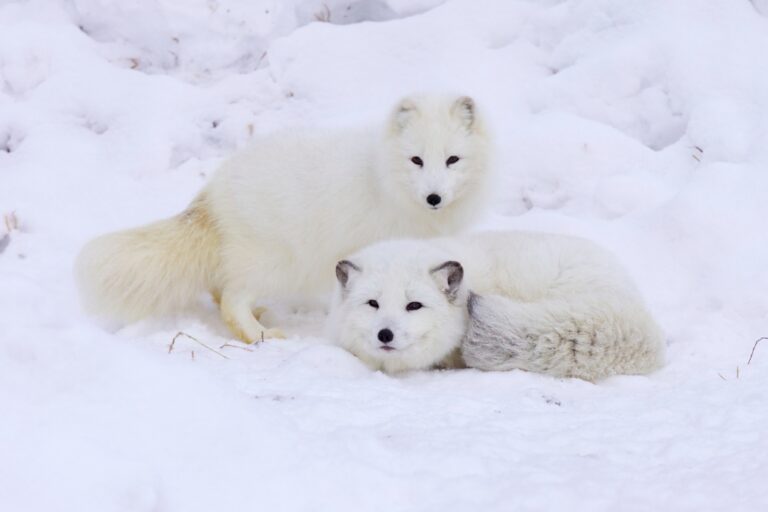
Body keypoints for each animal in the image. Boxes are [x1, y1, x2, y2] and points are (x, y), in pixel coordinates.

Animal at [75, 94, 492, 342]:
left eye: (452, 160)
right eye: (416, 160)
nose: (434, 197)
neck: (385, 177)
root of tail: (214, 190)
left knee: (220, 288)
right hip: (277, 262)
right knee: (231, 299)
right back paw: (260, 335)